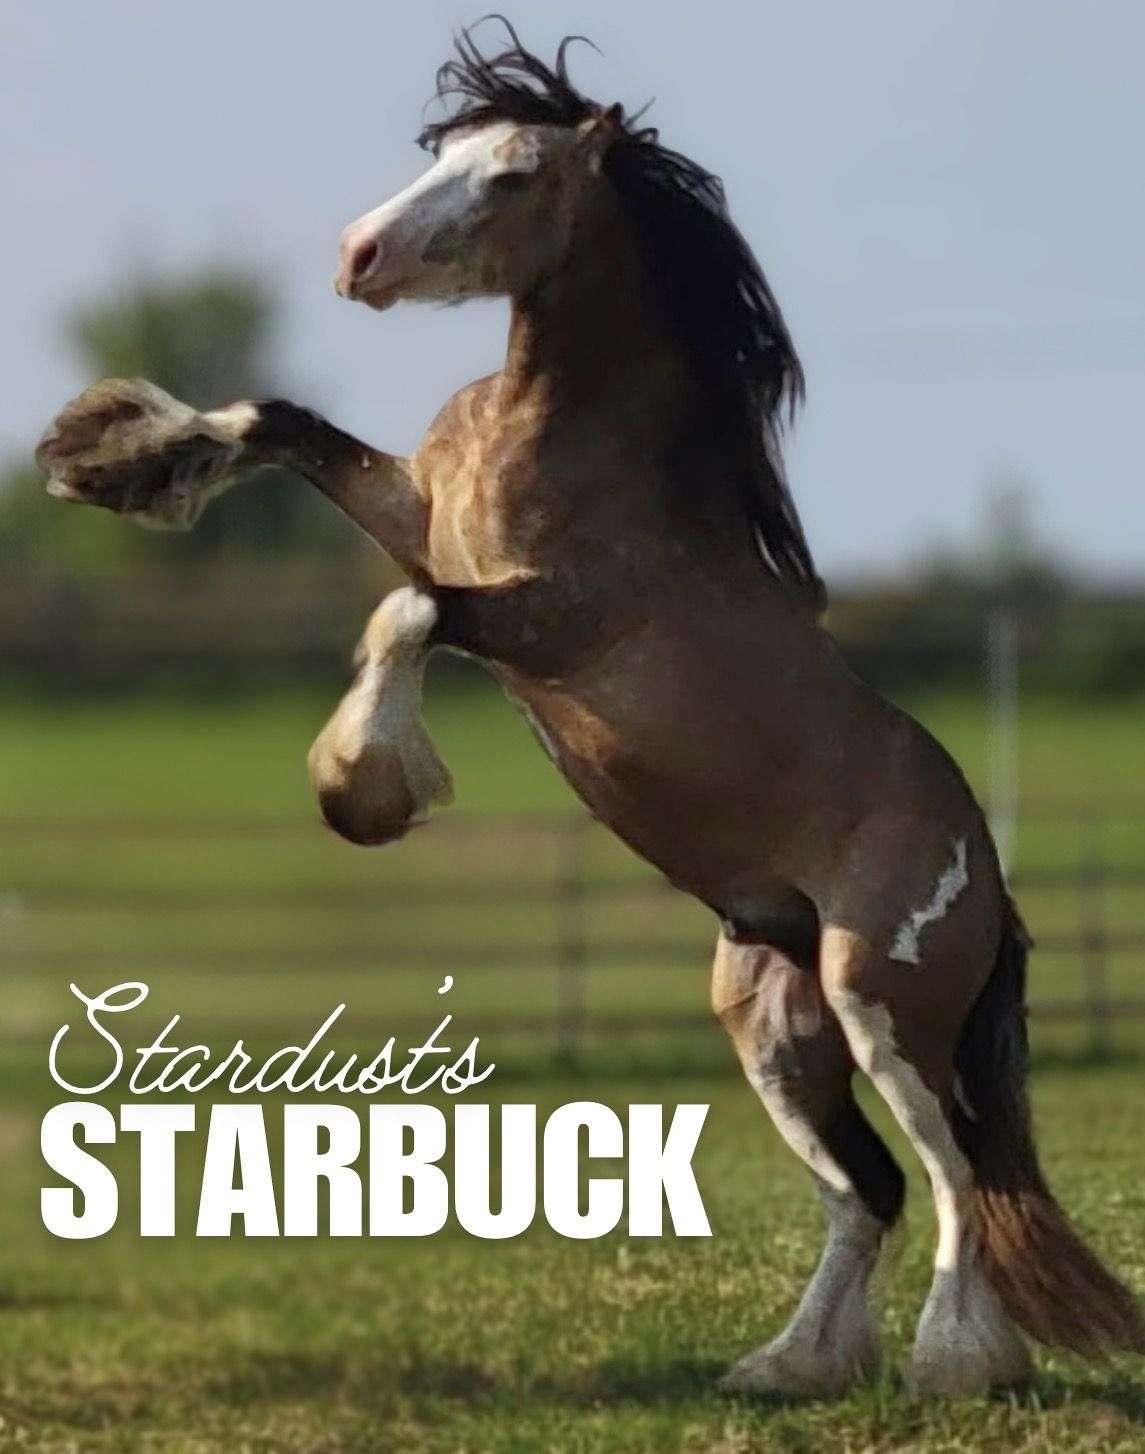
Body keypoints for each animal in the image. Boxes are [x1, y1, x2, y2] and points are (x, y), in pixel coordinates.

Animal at [36, 23, 1143, 1397]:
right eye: (442, 151)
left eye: (512, 175)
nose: (356, 258)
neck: (568, 435)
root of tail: (984, 876)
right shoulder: (415, 508)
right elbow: (279, 424)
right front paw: (108, 456)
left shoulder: (542, 616)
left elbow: (405, 614)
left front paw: (365, 790)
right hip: (771, 1020)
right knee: (868, 1190)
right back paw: (784, 1365)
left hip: (881, 1003)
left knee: (951, 1176)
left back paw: (952, 1364)